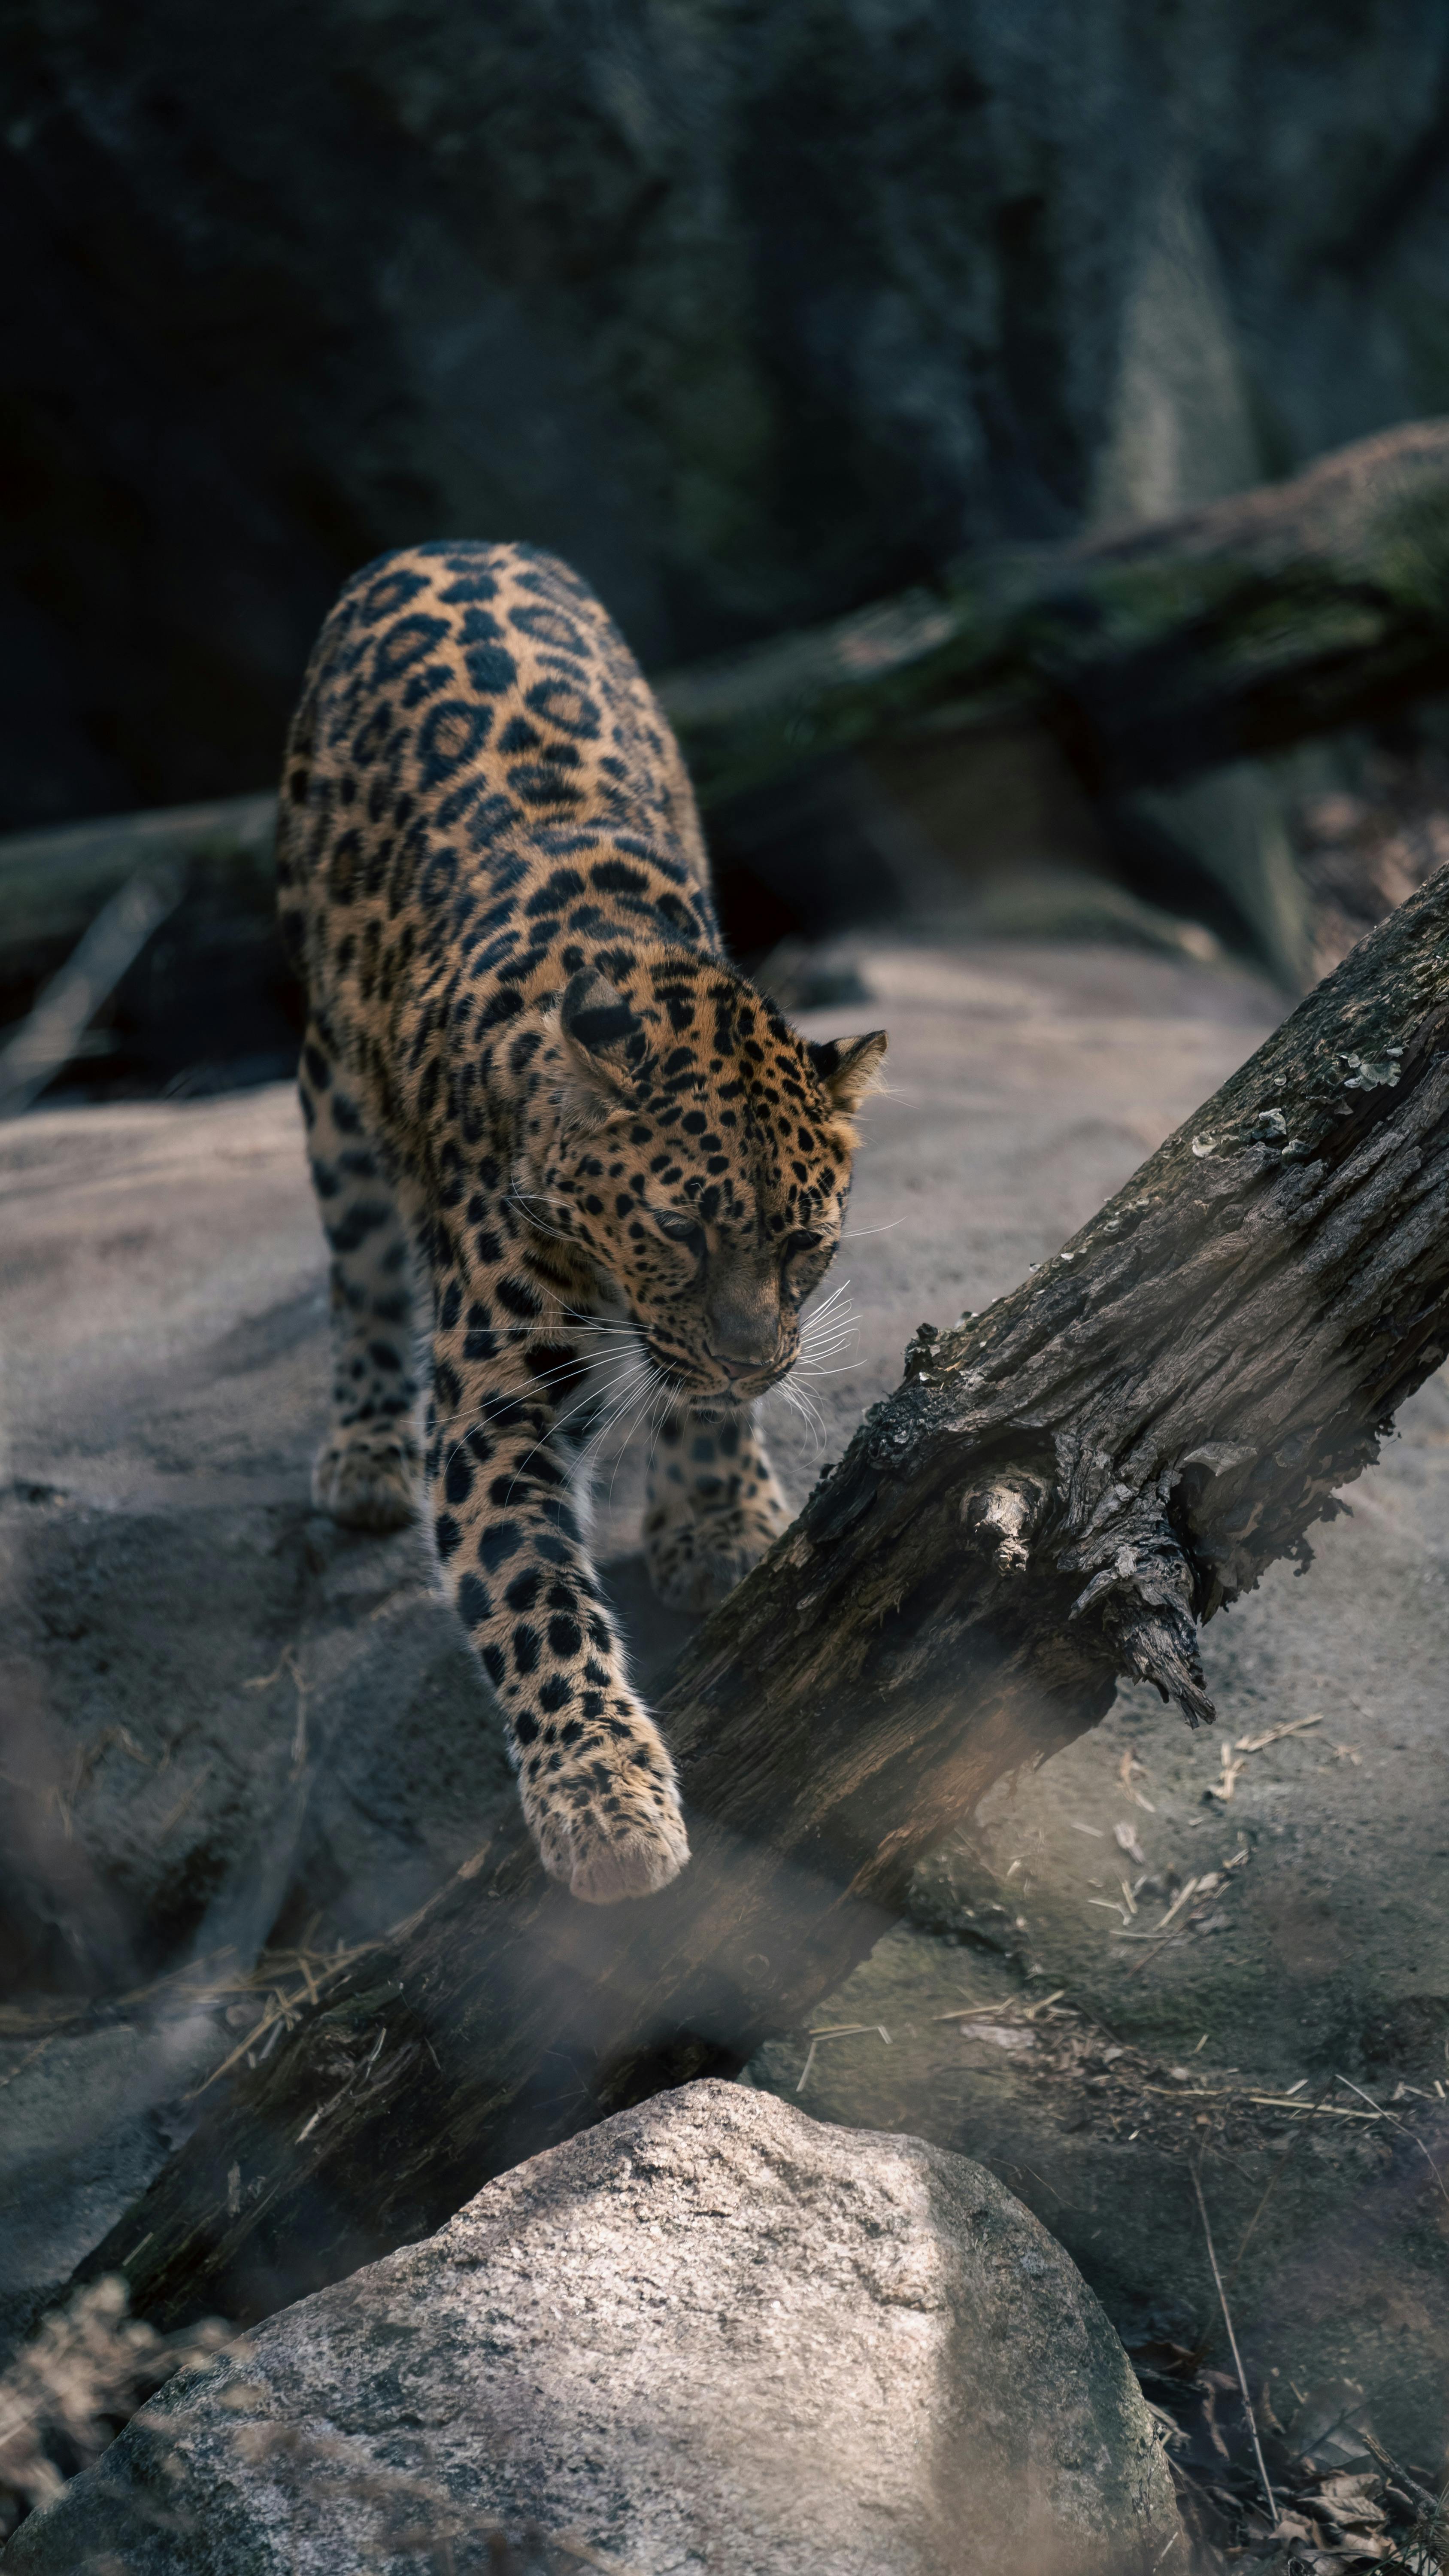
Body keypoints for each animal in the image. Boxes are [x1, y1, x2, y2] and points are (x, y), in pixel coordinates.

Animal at [276, 539, 886, 1905]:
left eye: (804, 1247)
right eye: (676, 1230)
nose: (755, 1362)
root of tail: (445, 544)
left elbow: (701, 1417)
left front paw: (719, 1518)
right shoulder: (493, 1409)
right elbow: (536, 1606)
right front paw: (604, 1802)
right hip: (331, 1067)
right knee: (356, 1262)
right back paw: (360, 1447)